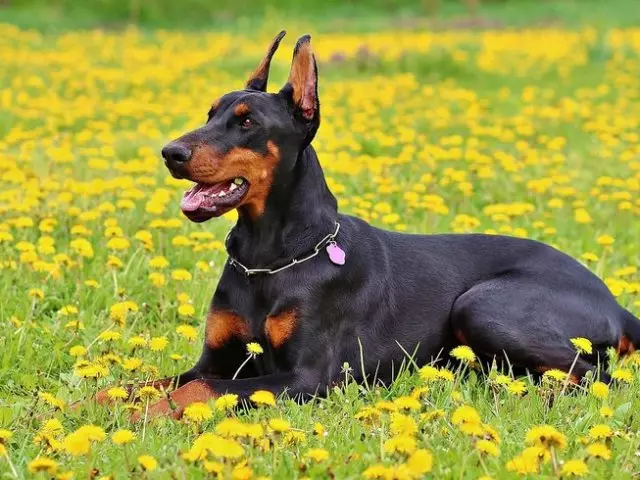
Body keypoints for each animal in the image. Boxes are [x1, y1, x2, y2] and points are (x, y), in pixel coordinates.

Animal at [106, 31, 640, 418]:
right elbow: (145, 382)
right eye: (210, 113)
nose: (170, 153)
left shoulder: (306, 377)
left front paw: (142, 415)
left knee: (599, 377)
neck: (270, 258)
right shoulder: (216, 358)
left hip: (482, 306)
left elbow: (199, 391)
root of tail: (615, 301)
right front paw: (100, 402)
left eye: (247, 122)